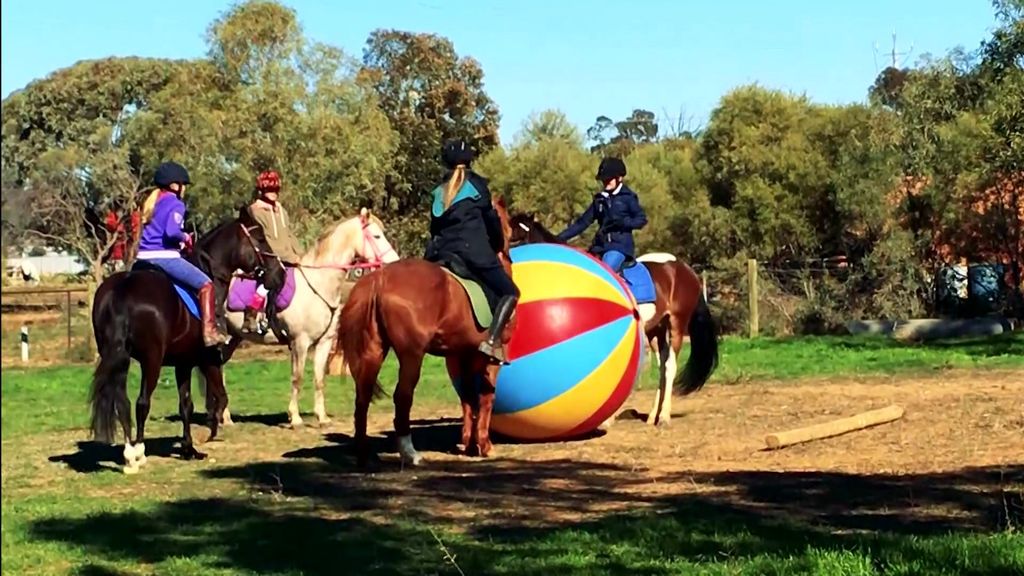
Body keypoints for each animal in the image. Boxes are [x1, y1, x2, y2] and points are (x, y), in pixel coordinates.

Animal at [89, 206, 287, 474]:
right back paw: (137, 454)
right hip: (151, 360)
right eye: (260, 238)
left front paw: (188, 448)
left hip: (117, 359)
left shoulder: (182, 362)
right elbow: (214, 398)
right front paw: (205, 434)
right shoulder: (205, 357)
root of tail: (123, 289)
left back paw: (129, 453)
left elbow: (186, 405)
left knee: (123, 403)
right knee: (142, 403)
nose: (280, 274)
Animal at [216, 208, 399, 428]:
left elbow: (319, 379)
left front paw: (322, 417)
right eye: (376, 236)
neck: (318, 284)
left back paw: (224, 417)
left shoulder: (324, 343)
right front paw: (295, 418)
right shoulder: (300, 343)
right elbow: (298, 378)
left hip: (233, 338)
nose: (395, 262)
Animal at [338, 196, 516, 468]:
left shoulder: (462, 355)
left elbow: (468, 398)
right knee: (402, 396)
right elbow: (486, 397)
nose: (507, 245)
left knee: (362, 397)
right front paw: (484, 445)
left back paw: (364, 455)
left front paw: (468, 443)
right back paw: (410, 453)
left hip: (374, 351)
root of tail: (380, 278)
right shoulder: (488, 359)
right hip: (412, 355)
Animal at [509, 212, 719, 426]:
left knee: (670, 367)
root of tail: (685, 269)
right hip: (655, 329)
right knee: (662, 366)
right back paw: (653, 416)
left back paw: (664, 417)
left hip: (677, 323)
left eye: (519, 236)